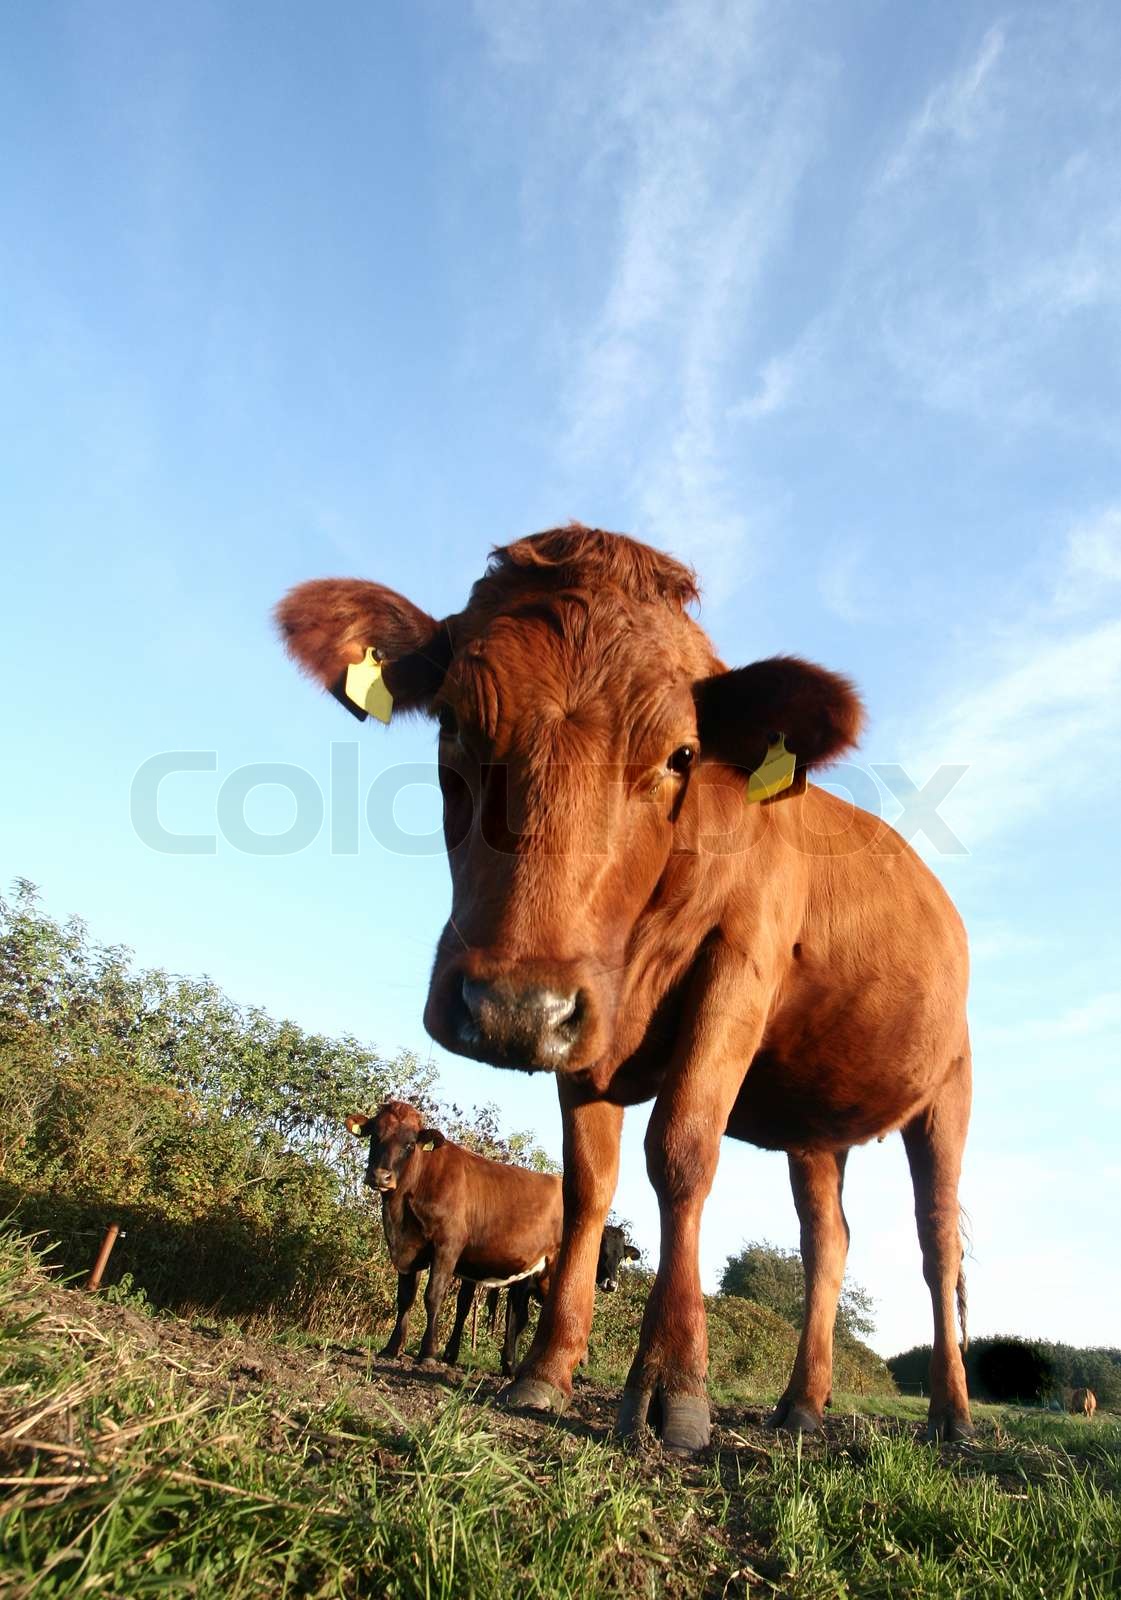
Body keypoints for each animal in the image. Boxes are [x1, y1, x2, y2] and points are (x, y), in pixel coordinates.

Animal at [347, 1100, 562, 1373]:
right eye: (375, 1135)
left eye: (409, 1144)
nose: (379, 1176)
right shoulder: (411, 1250)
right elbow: (405, 1298)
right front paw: (391, 1348)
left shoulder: (447, 1247)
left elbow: (432, 1295)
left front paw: (428, 1353)